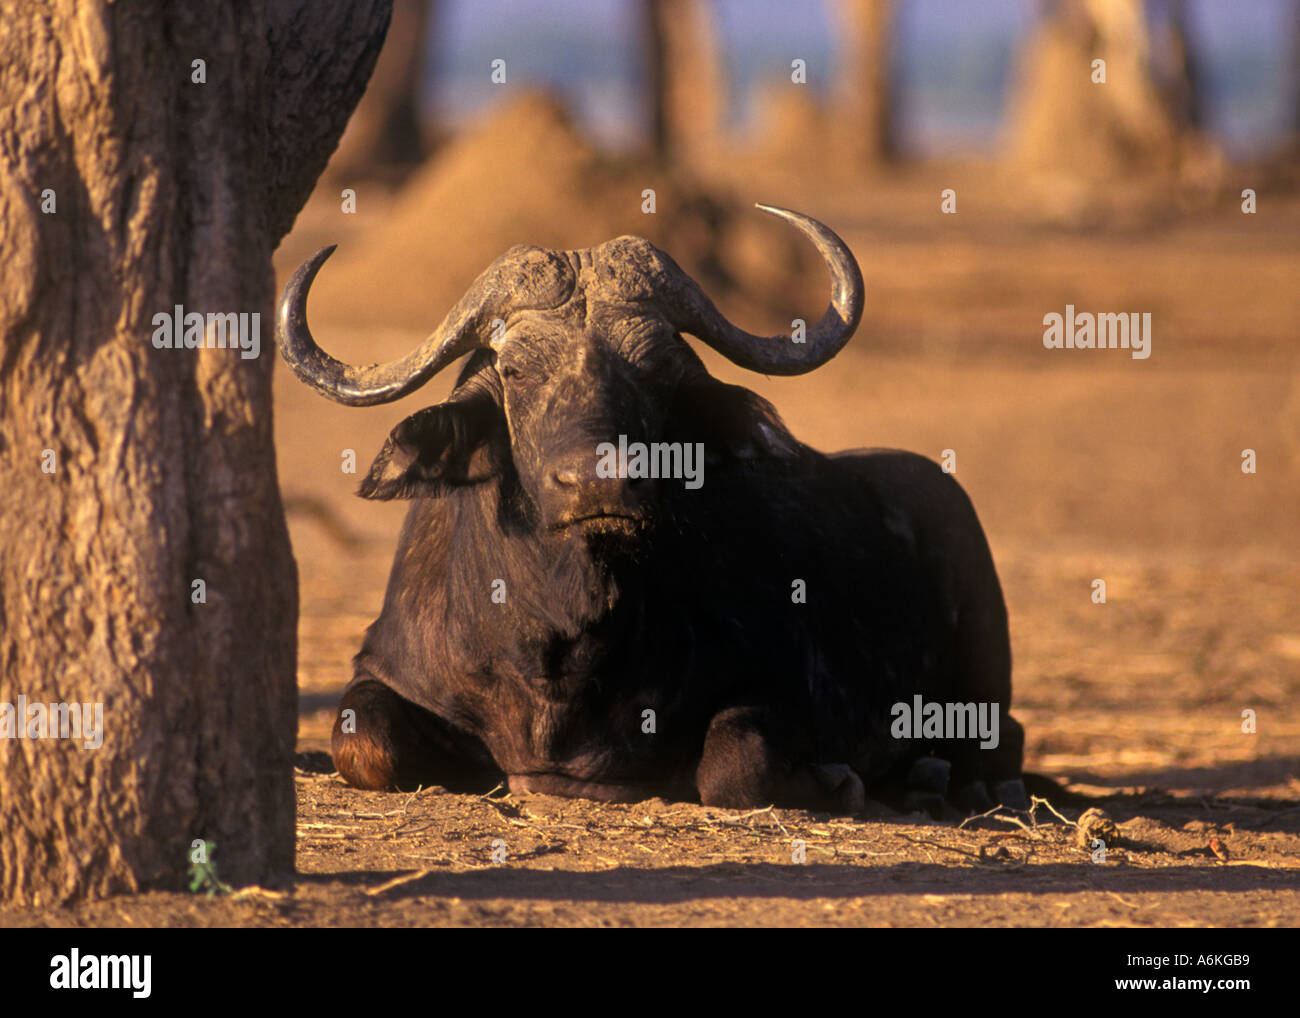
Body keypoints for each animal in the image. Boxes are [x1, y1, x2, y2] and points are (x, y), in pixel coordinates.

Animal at [276, 204, 1028, 815]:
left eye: (659, 369)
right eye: (516, 371)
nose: (601, 482)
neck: (558, 645)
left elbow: (735, 761)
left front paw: (842, 784)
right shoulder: (381, 671)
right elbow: (366, 742)